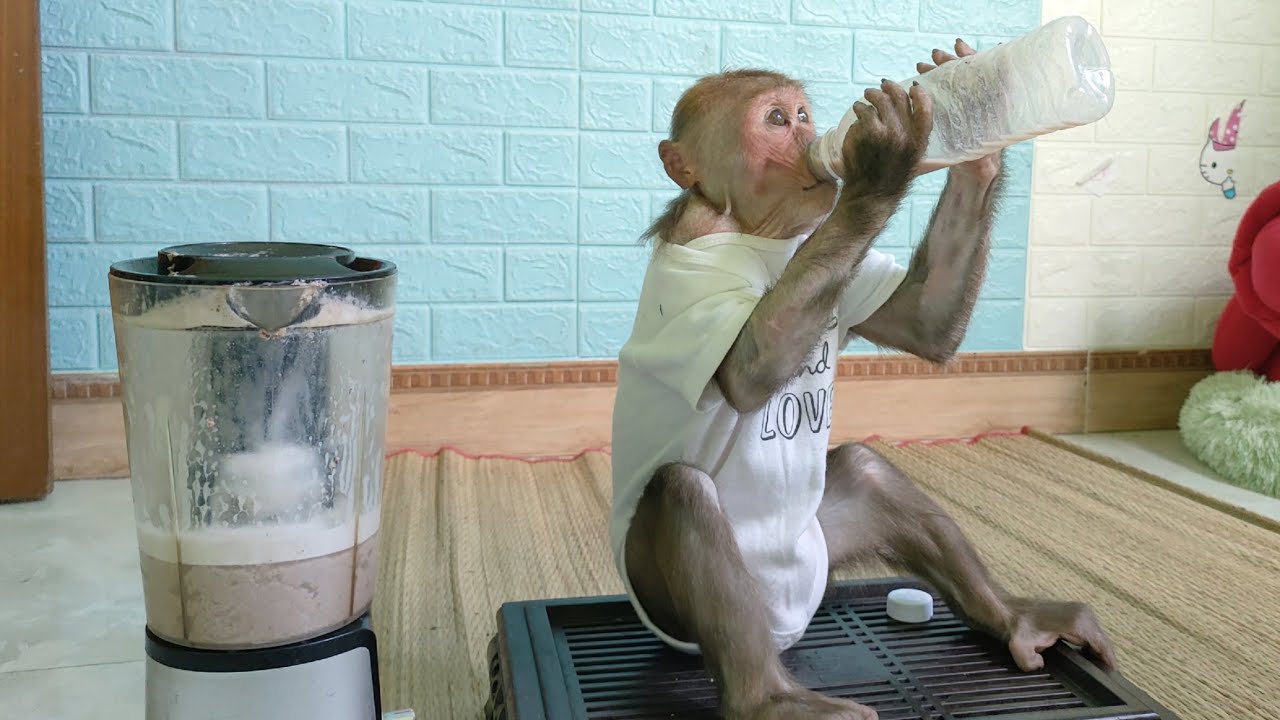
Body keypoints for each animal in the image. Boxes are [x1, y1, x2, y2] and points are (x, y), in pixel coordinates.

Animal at [607, 40, 1117, 720]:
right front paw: (883, 154)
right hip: (671, 614)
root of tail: (787, 633)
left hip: (818, 551)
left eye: (801, 114)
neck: (754, 232)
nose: (809, 135)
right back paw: (769, 700)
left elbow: (922, 321)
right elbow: (747, 370)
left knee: (869, 472)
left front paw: (976, 112)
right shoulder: (690, 272)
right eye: (776, 120)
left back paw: (1011, 618)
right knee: (680, 491)